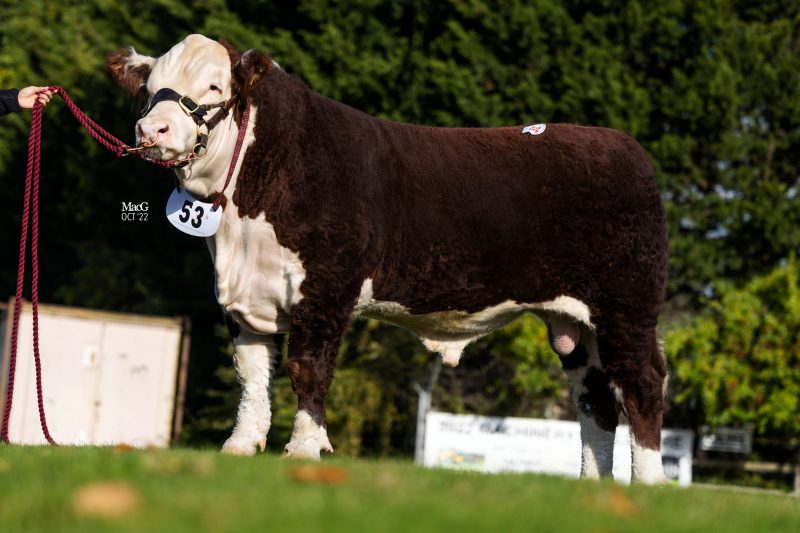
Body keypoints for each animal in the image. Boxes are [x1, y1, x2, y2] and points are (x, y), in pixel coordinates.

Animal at [107, 34, 669, 484]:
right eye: (152, 86)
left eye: (213, 88)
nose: (151, 131)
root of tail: (624, 147)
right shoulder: (244, 297)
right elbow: (252, 376)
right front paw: (239, 447)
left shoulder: (326, 290)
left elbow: (308, 369)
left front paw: (303, 450)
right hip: (575, 324)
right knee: (596, 399)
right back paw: (592, 484)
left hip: (627, 308)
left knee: (641, 384)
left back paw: (649, 483)